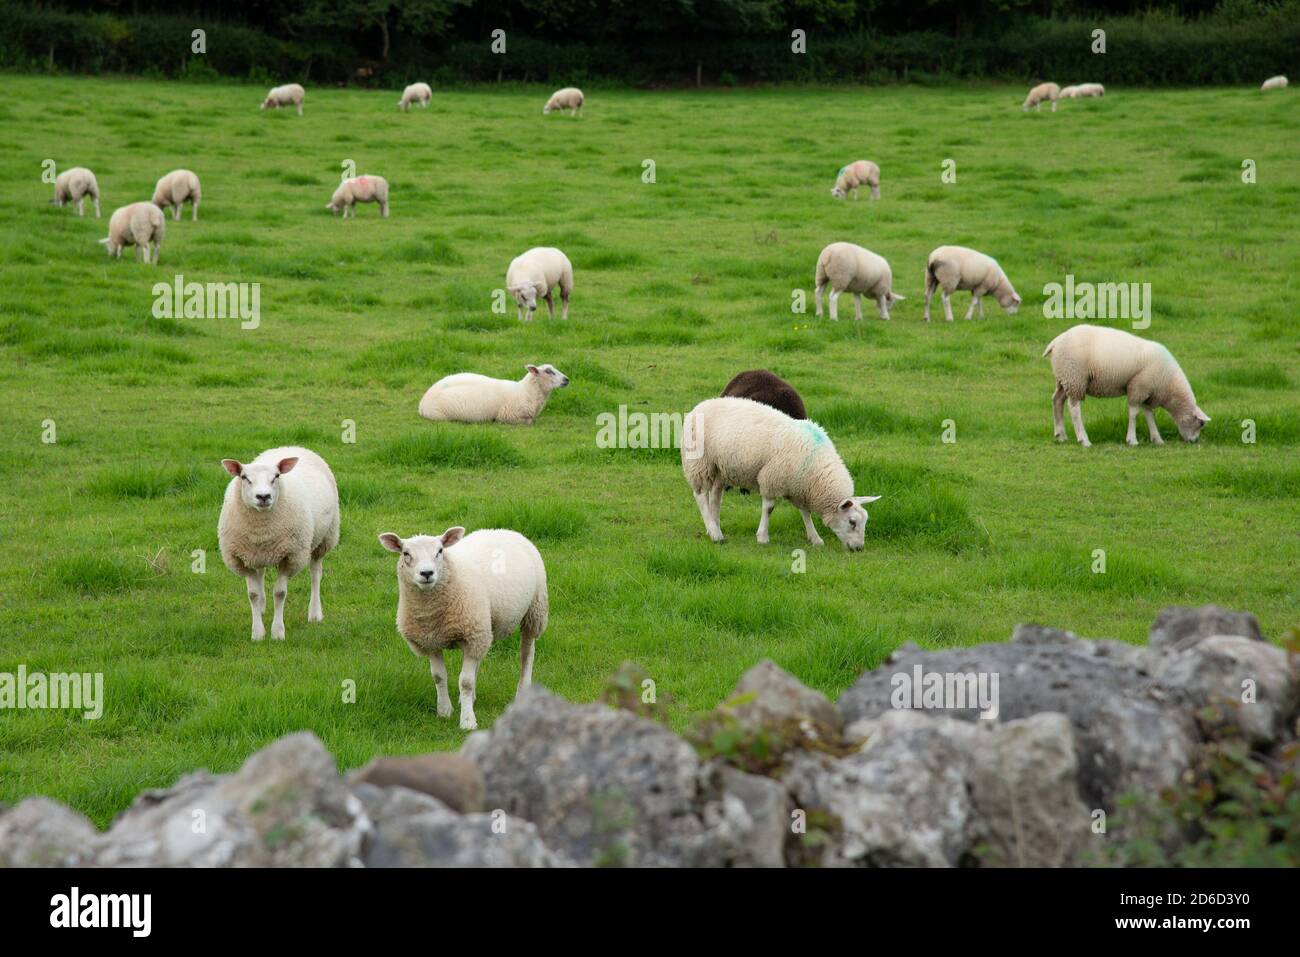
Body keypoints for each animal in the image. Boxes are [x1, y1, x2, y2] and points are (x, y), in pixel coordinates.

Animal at [218, 447, 340, 641]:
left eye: (276, 476)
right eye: (244, 477)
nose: (263, 496)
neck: (261, 530)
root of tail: (291, 446)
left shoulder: (290, 557)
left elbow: (280, 593)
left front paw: (277, 632)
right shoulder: (242, 558)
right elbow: (253, 594)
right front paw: (257, 632)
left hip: (324, 539)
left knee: (315, 574)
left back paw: (314, 613)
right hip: (257, 554)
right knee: (260, 574)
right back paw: (261, 608)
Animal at [378, 526, 547, 730]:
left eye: (440, 551)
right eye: (406, 553)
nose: (427, 573)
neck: (431, 614)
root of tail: (503, 530)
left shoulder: (471, 635)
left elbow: (465, 682)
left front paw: (467, 721)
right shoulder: (431, 640)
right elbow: (439, 676)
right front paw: (444, 710)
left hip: (534, 610)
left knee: (527, 653)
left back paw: (522, 690)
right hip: (484, 624)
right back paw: (469, 698)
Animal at [419, 364, 569, 425]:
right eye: (548, 371)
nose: (567, 379)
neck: (524, 391)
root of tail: (422, 403)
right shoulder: (508, 416)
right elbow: (530, 421)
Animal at [681, 396, 881, 551]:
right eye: (852, 522)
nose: (859, 548)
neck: (816, 468)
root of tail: (699, 406)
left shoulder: (800, 486)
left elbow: (805, 512)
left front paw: (815, 538)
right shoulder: (772, 478)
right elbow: (769, 508)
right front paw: (762, 537)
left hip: (720, 467)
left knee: (715, 496)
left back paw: (714, 526)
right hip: (699, 462)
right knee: (700, 495)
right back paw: (715, 534)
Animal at [1044, 324, 1211, 448]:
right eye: (1201, 423)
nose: (1194, 441)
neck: (1169, 385)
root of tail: (1055, 342)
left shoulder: (1147, 391)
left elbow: (1149, 414)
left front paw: (1157, 439)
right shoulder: (1138, 387)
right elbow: (1134, 413)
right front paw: (1132, 440)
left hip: (1064, 378)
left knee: (1057, 400)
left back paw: (1060, 435)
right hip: (1075, 377)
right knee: (1074, 409)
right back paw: (1084, 440)